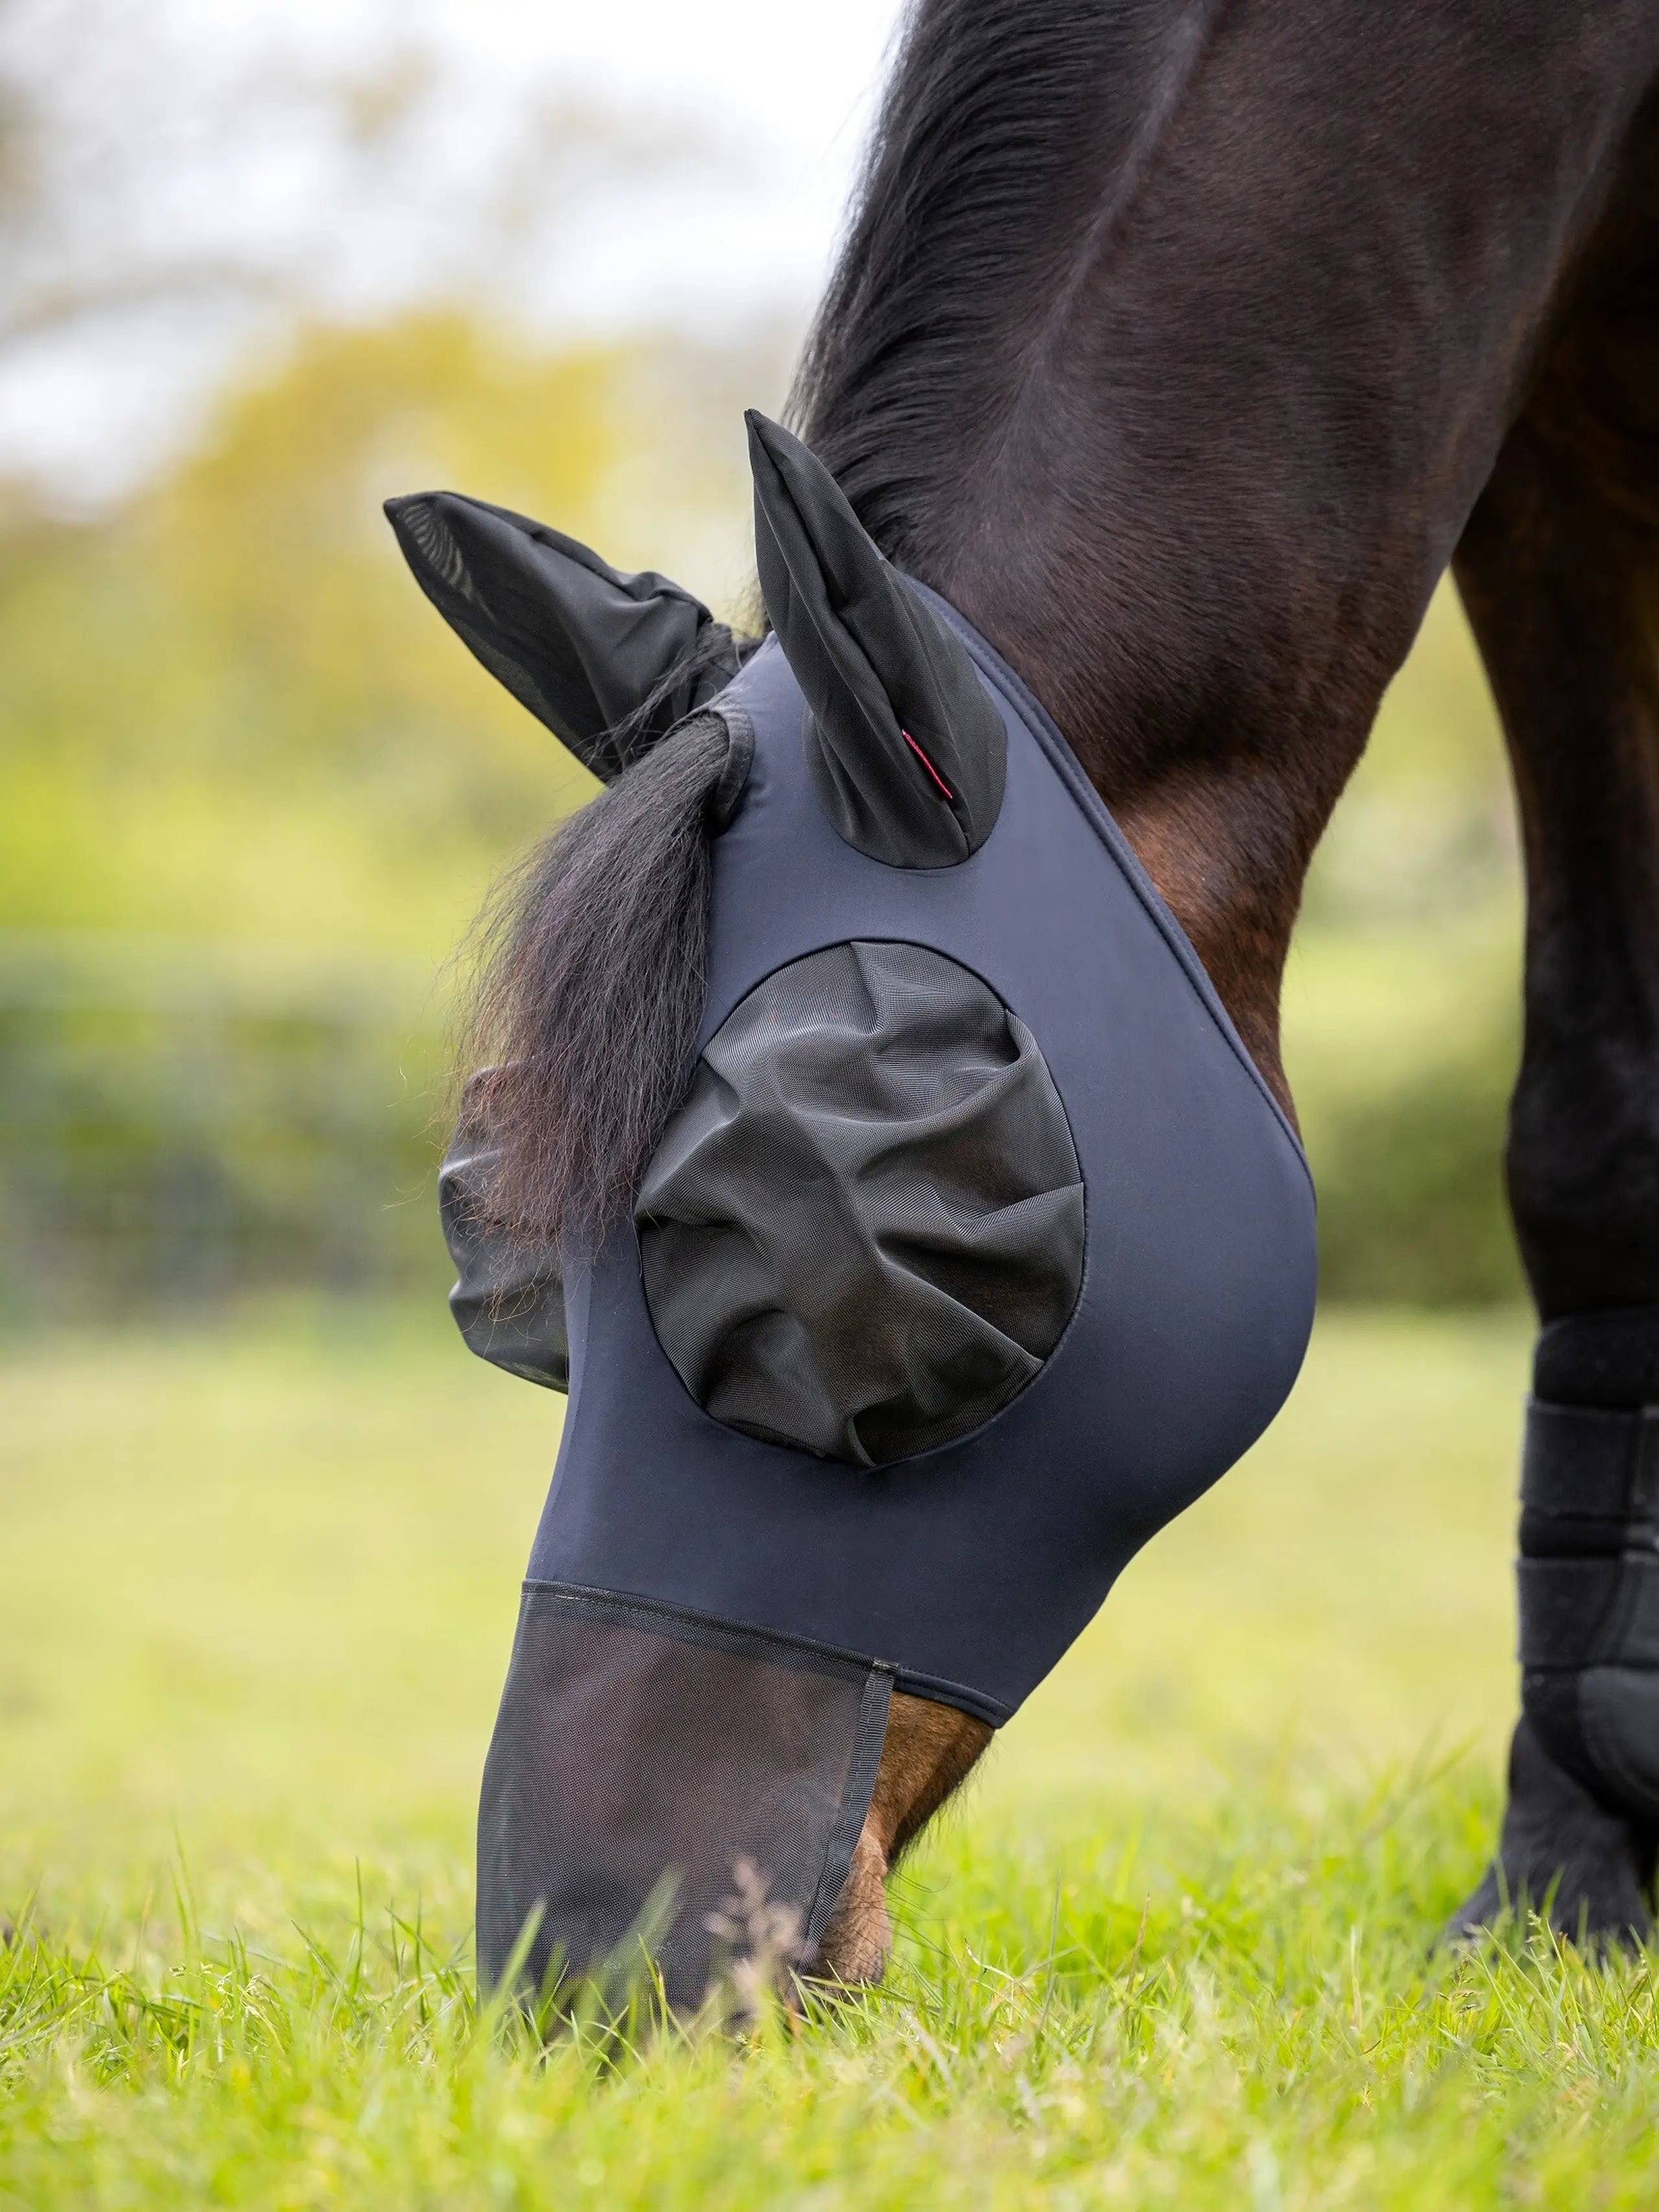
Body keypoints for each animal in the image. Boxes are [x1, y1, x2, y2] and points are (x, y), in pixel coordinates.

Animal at [402, 0, 1659, 1989]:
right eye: (496, 1260)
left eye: (861, 1228)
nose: (594, 1956)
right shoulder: (1547, 417)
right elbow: (1600, 1123)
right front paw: (1574, 1864)